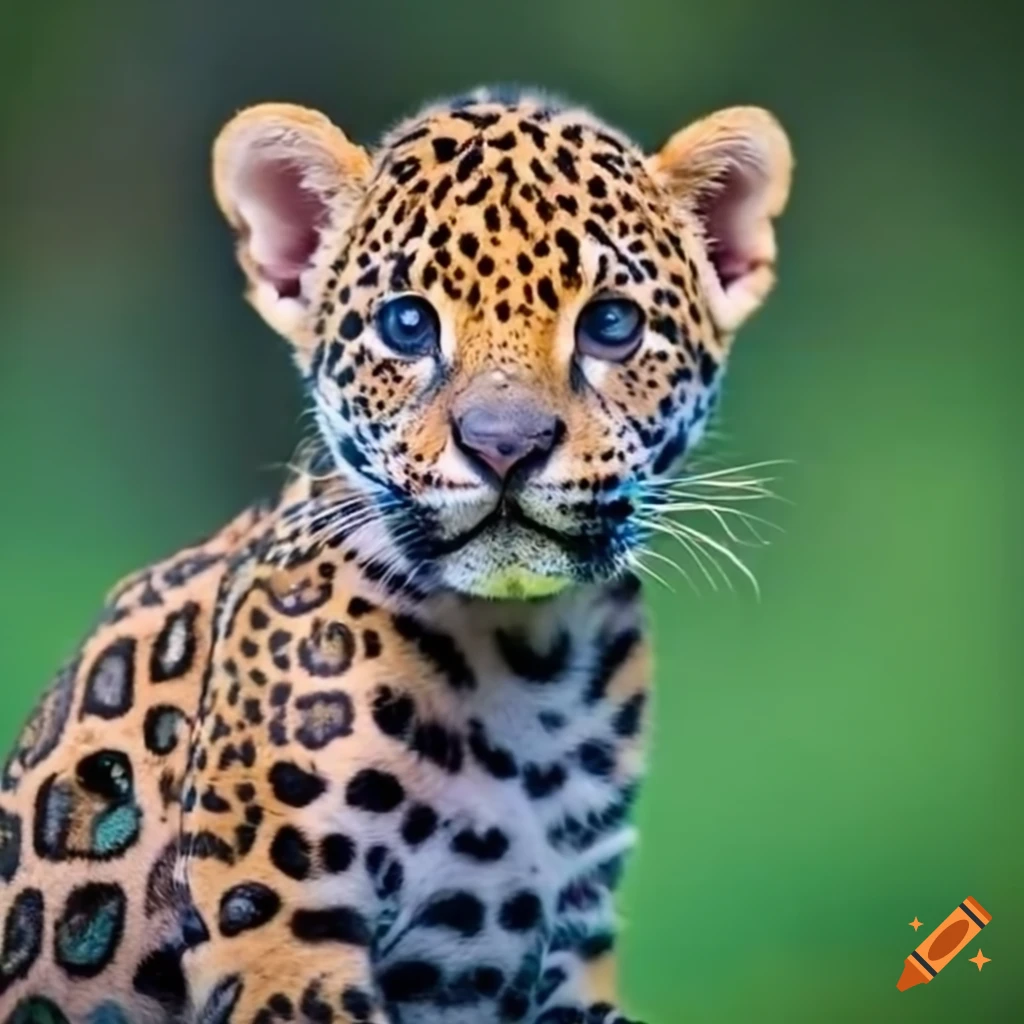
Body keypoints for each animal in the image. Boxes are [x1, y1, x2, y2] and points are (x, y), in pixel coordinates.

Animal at [0, 86, 792, 1024]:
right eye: (407, 324)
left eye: (610, 324)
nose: (504, 444)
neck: (527, 667)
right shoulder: (282, 934)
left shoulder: (572, 940)